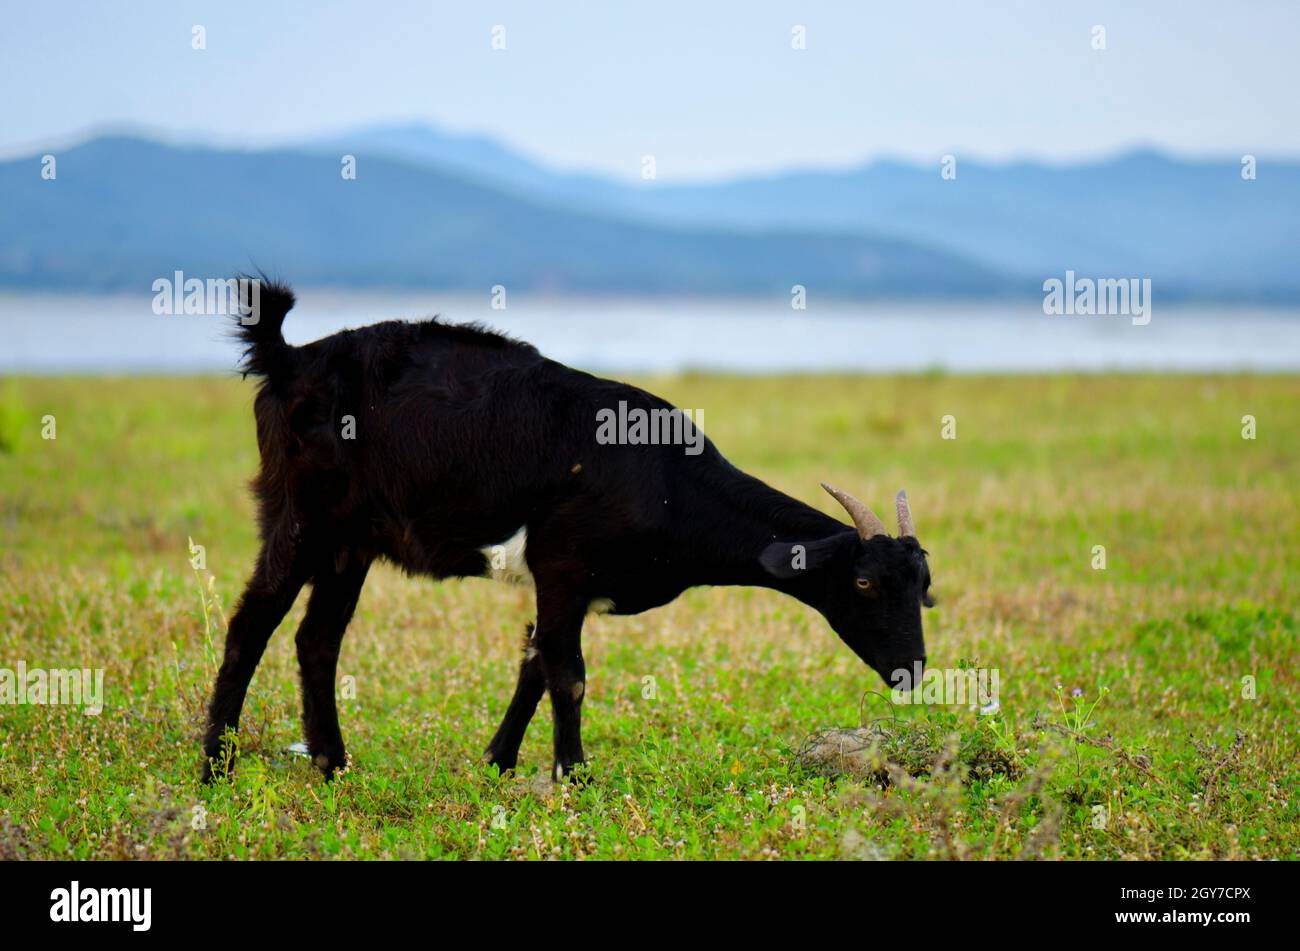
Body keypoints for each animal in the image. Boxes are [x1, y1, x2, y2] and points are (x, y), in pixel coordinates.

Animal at [201, 281, 933, 782]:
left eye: (923, 586)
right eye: (863, 583)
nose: (912, 670)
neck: (666, 479)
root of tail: (290, 359)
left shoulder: (568, 585)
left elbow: (535, 660)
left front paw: (498, 762)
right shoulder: (562, 565)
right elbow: (567, 672)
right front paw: (573, 776)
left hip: (351, 542)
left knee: (316, 637)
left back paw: (332, 764)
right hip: (301, 518)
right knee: (252, 623)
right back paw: (217, 768)